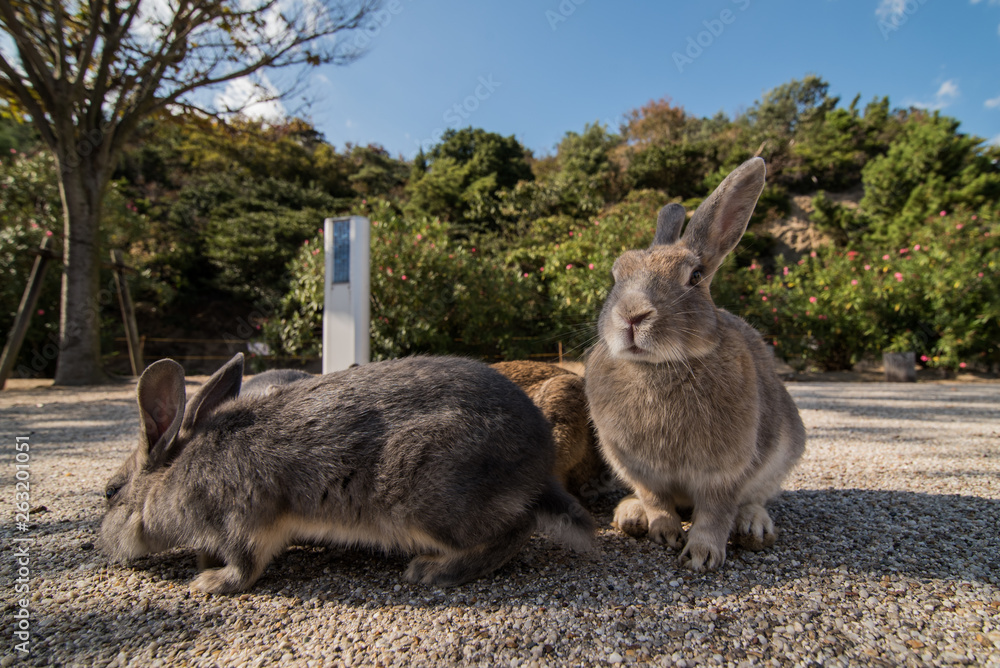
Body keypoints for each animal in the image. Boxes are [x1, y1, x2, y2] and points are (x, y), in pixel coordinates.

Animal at [99, 353, 594, 594]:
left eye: (110, 491)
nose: (105, 546)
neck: (173, 475)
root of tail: (538, 461)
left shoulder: (244, 520)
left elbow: (245, 565)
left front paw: (208, 583)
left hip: (426, 499)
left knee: (517, 527)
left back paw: (433, 572)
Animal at [585, 157, 806, 572]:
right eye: (617, 274)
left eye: (696, 276)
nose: (632, 316)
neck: (661, 366)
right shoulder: (641, 471)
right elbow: (656, 500)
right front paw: (664, 532)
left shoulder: (724, 473)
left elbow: (716, 512)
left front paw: (702, 555)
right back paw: (630, 515)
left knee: (755, 499)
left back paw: (754, 526)